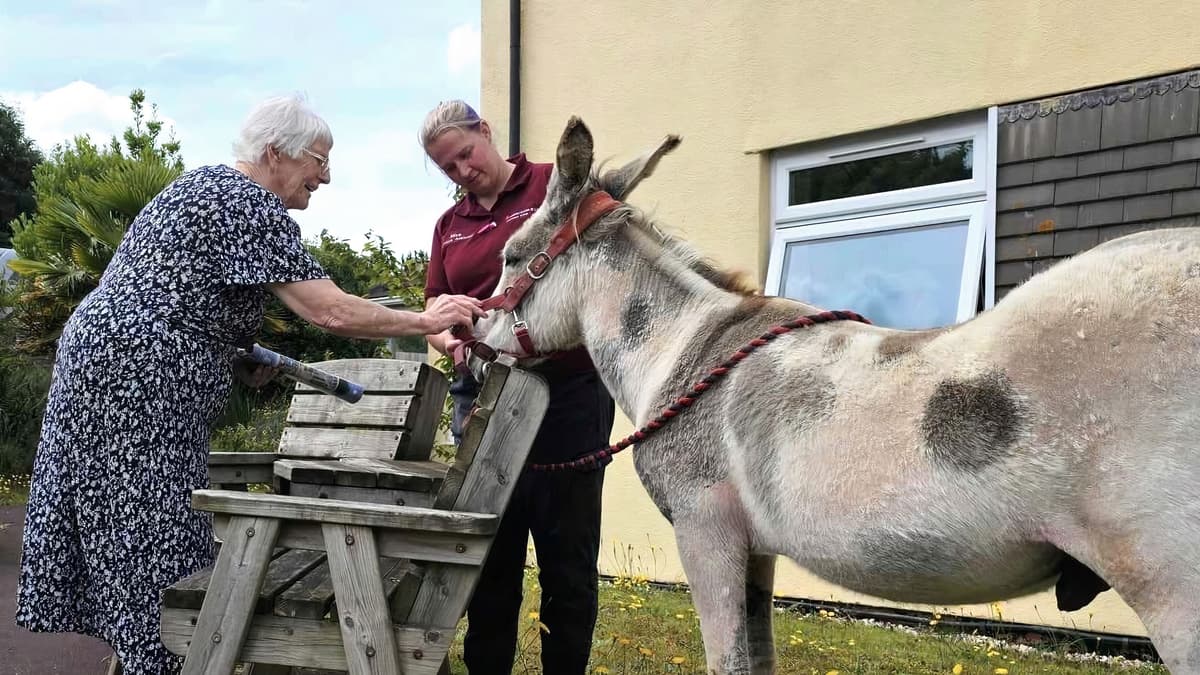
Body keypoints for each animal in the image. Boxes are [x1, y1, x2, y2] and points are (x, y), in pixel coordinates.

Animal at [469, 117, 1200, 674]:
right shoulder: (754, 550)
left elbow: (727, 660)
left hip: (1171, 584)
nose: (473, 341)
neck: (686, 347)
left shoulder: (706, 531)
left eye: (509, 257)